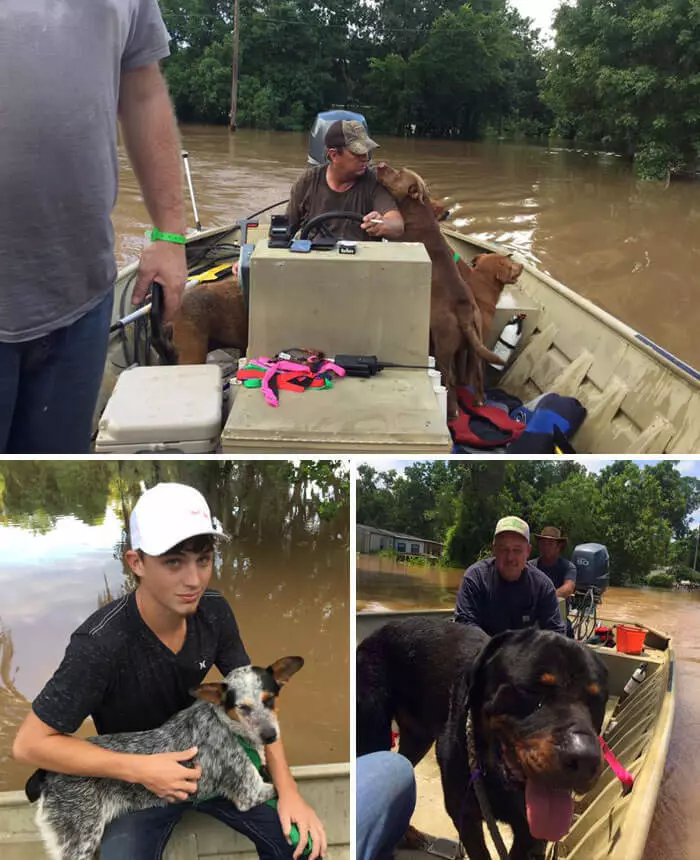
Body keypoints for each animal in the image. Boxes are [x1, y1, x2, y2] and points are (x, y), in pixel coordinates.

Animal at [25, 656, 304, 856]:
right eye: (242, 707)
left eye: (270, 699)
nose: (270, 737)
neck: (227, 725)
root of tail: (45, 774)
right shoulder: (250, 794)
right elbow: (279, 786)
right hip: (80, 840)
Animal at [356, 620, 608, 852]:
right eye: (532, 690)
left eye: (597, 700)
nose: (586, 759)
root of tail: (374, 634)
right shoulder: (464, 811)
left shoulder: (530, 832)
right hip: (373, 732)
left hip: (417, 738)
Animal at [378, 165, 504, 416]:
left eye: (398, 174)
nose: (380, 165)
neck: (417, 210)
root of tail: (465, 310)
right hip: (474, 345)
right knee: (476, 374)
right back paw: (479, 402)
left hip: (444, 346)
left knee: (450, 379)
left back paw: (452, 412)